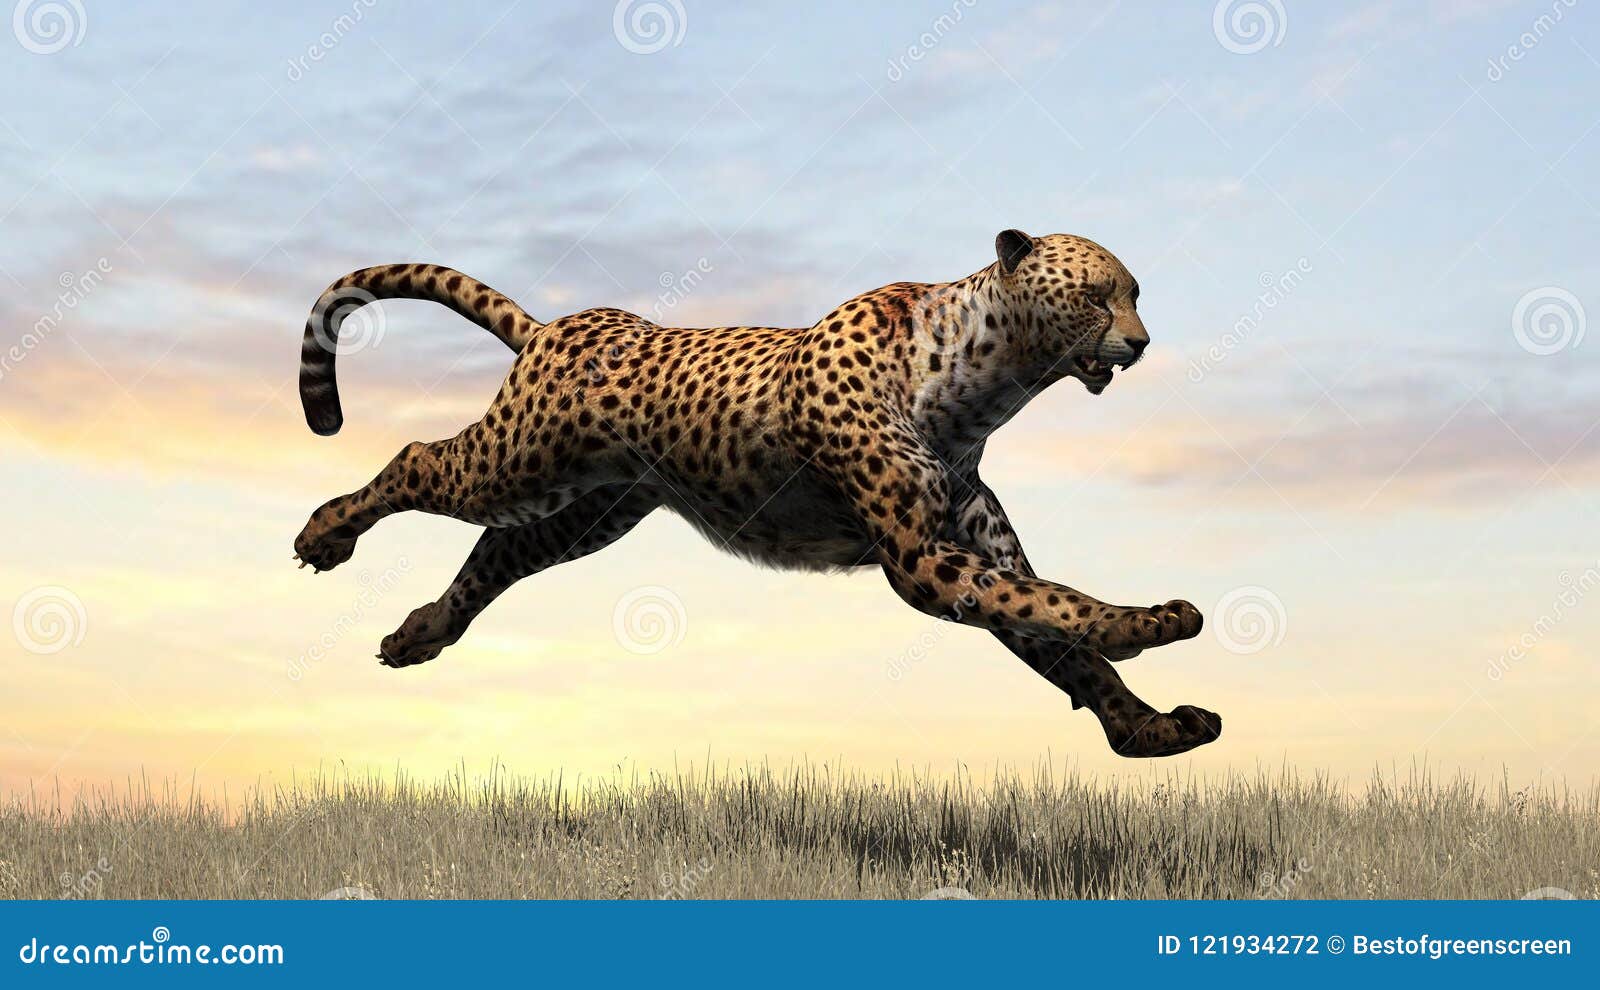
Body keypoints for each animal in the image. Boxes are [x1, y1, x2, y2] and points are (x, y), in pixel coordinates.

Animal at [293, 229, 1221, 757]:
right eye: (1099, 294)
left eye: (1136, 295)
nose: (1141, 342)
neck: (989, 380)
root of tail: (555, 324)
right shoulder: (923, 564)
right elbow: (1062, 606)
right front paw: (1156, 623)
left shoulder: (971, 551)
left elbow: (1056, 636)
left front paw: (1151, 729)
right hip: (515, 460)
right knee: (417, 458)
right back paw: (322, 535)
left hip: (581, 513)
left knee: (496, 553)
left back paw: (417, 633)